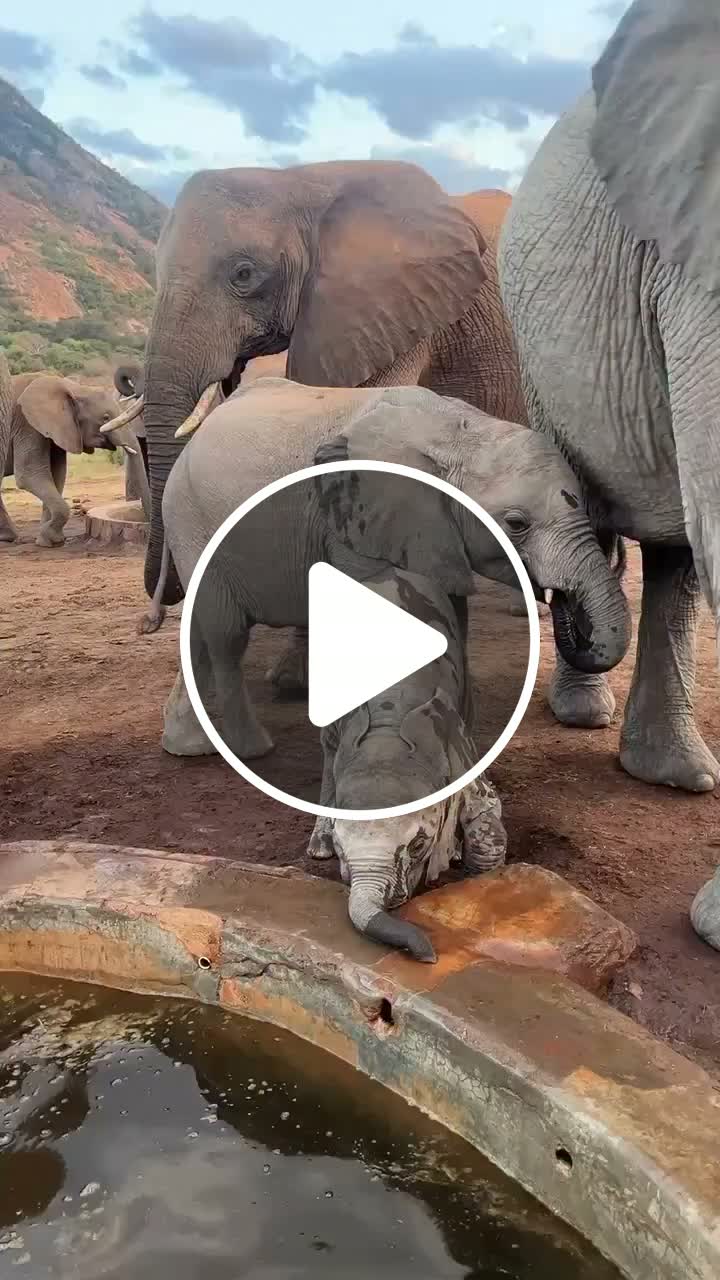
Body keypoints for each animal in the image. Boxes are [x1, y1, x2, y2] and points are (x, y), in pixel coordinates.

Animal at [0, 371, 148, 546]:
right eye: (105, 417)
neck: (73, 387)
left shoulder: (59, 429)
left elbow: (57, 474)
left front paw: (49, 540)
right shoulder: (27, 423)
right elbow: (30, 475)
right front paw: (51, 540)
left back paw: (7, 537)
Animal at [151, 377, 630, 762]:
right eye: (516, 524)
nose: (558, 599)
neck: (461, 434)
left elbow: (450, 622)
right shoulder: (354, 521)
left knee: (200, 633)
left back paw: (188, 747)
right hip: (193, 523)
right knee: (225, 635)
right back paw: (250, 750)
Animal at [308, 564, 506, 960]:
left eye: (418, 845)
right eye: (340, 846)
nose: (428, 955)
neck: (389, 724)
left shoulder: (455, 738)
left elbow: (485, 818)